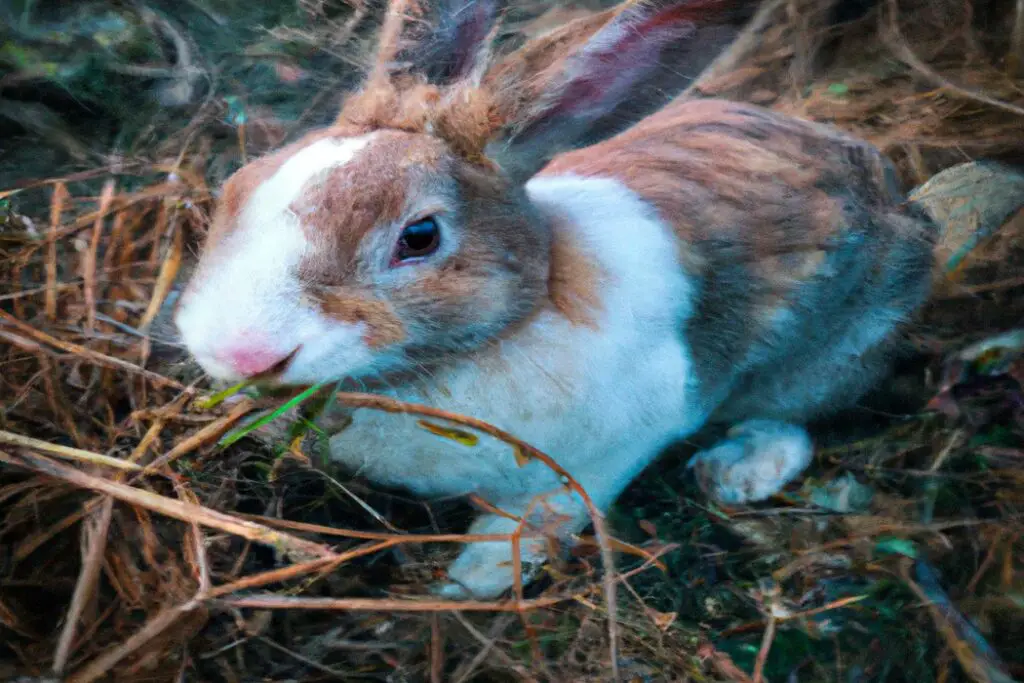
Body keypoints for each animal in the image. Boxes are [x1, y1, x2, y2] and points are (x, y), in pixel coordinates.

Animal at [173, 0, 940, 599]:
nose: (239, 351)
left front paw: (470, 580)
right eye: (239, 185)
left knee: (800, 421)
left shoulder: (616, 448)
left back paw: (735, 472)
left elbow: (543, 516)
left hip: (819, 357)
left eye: (419, 237)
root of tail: (901, 205)